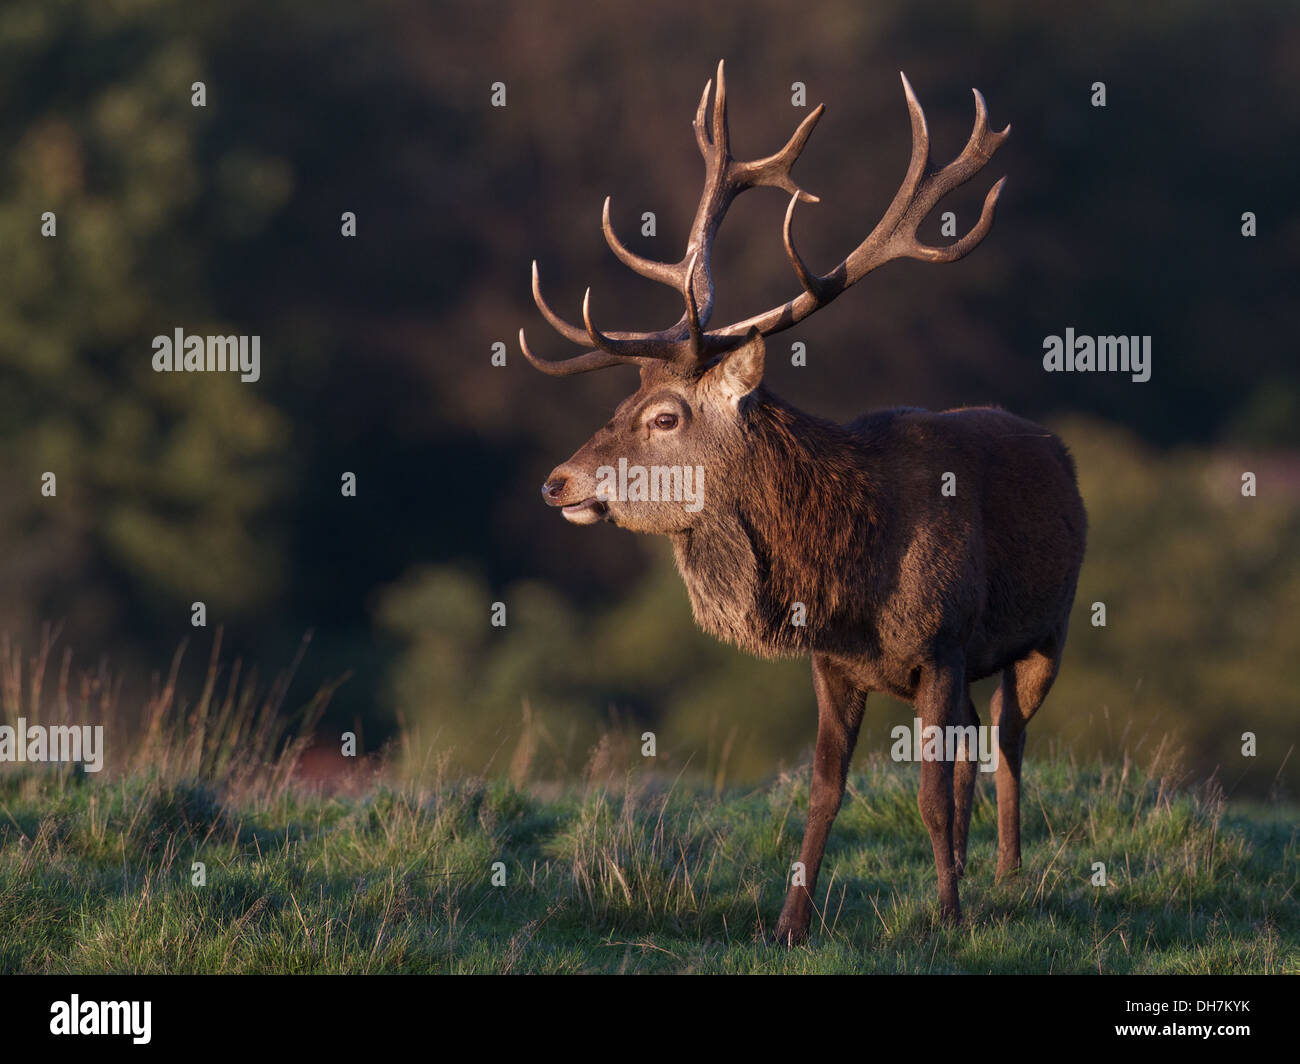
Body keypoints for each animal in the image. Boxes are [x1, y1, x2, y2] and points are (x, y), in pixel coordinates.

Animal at [520, 61, 1087, 945]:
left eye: (665, 415)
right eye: (626, 400)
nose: (557, 482)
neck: (851, 577)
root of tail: (1057, 451)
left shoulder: (944, 641)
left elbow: (928, 792)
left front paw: (946, 916)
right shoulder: (831, 663)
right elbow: (825, 792)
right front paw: (789, 922)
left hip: (1046, 633)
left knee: (1010, 742)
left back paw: (1002, 876)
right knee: (973, 751)